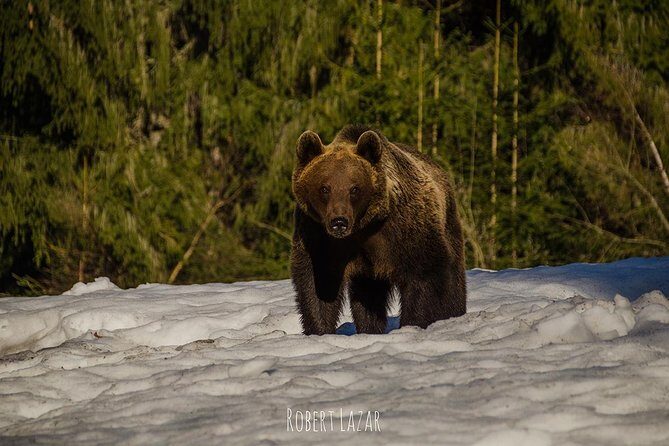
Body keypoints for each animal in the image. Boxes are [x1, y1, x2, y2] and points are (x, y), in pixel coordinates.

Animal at [291, 125, 466, 335]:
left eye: (354, 188)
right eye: (325, 188)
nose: (339, 222)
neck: (363, 226)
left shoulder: (405, 229)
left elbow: (422, 274)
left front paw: (413, 323)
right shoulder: (318, 235)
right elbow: (320, 283)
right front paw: (319, 330)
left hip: (448, 225)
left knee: (453, 279)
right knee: (368, 296)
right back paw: (369, 328)